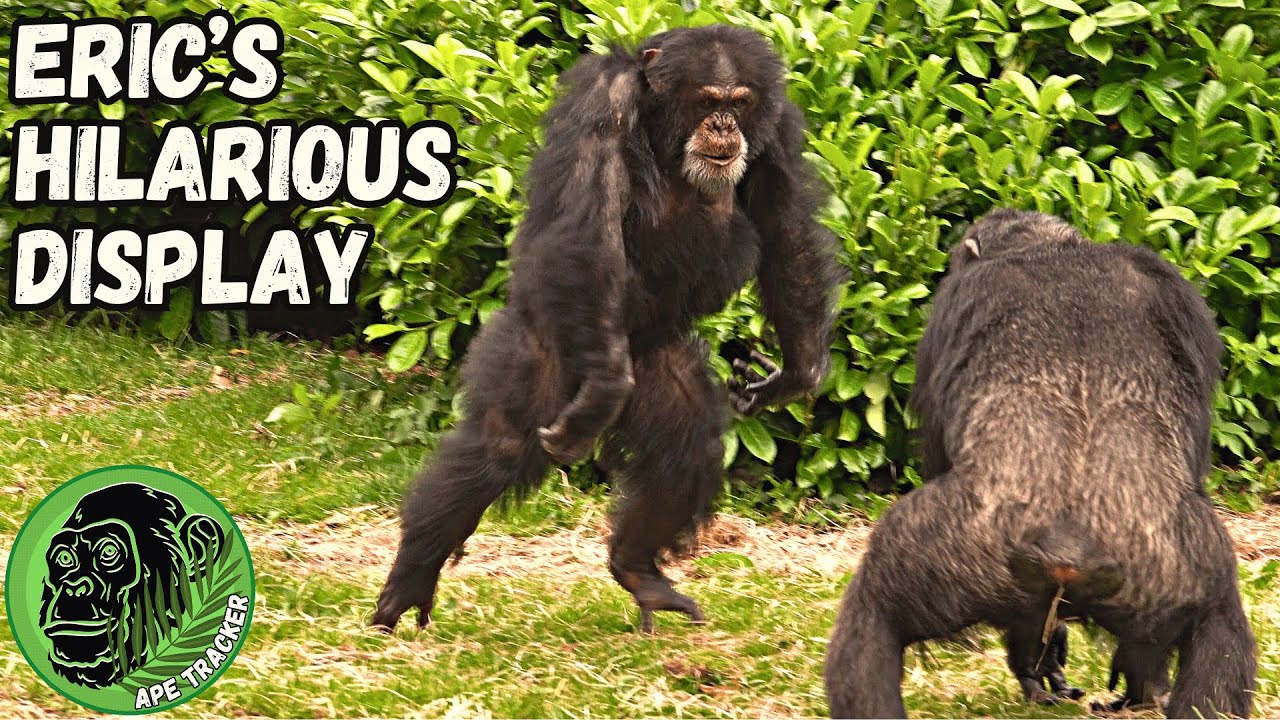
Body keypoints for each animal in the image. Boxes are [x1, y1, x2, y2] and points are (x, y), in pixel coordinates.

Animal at [371, 24, 843, 634]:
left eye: (739, 102)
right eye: (706, 102)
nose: (723, 126)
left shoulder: (778, 126)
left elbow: (783, 222)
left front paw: (797, 371)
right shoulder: (605, 103)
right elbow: (589, 222)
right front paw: (603, 392)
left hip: (656, 362)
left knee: (684, 447)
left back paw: (637, 570)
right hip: (544, 346)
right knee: (498, 446)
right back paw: (408, 583)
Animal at [824, 209, 1256, 718]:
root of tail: (1069, 547)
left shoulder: (956, 306)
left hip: (946, 551)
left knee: (874, 610)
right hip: (1179, 570)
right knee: (1219, 640)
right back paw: (1147, 687)